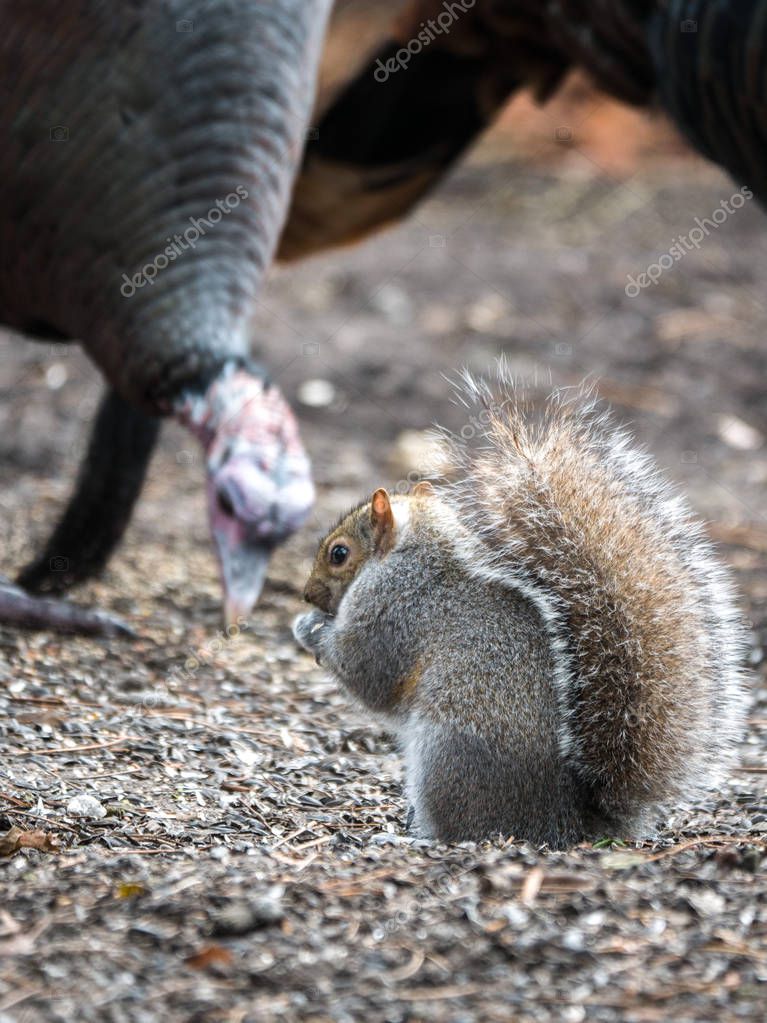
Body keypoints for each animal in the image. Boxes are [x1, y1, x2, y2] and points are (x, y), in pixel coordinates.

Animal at [293, 374, 748, 847]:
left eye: (339, 553)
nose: (306, 595)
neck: (419, 550)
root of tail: (569, 823)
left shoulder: (395, 605)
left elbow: (368, 671)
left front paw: (308, 628)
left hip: (447, 758)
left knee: (463, 829)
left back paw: (413, 838)